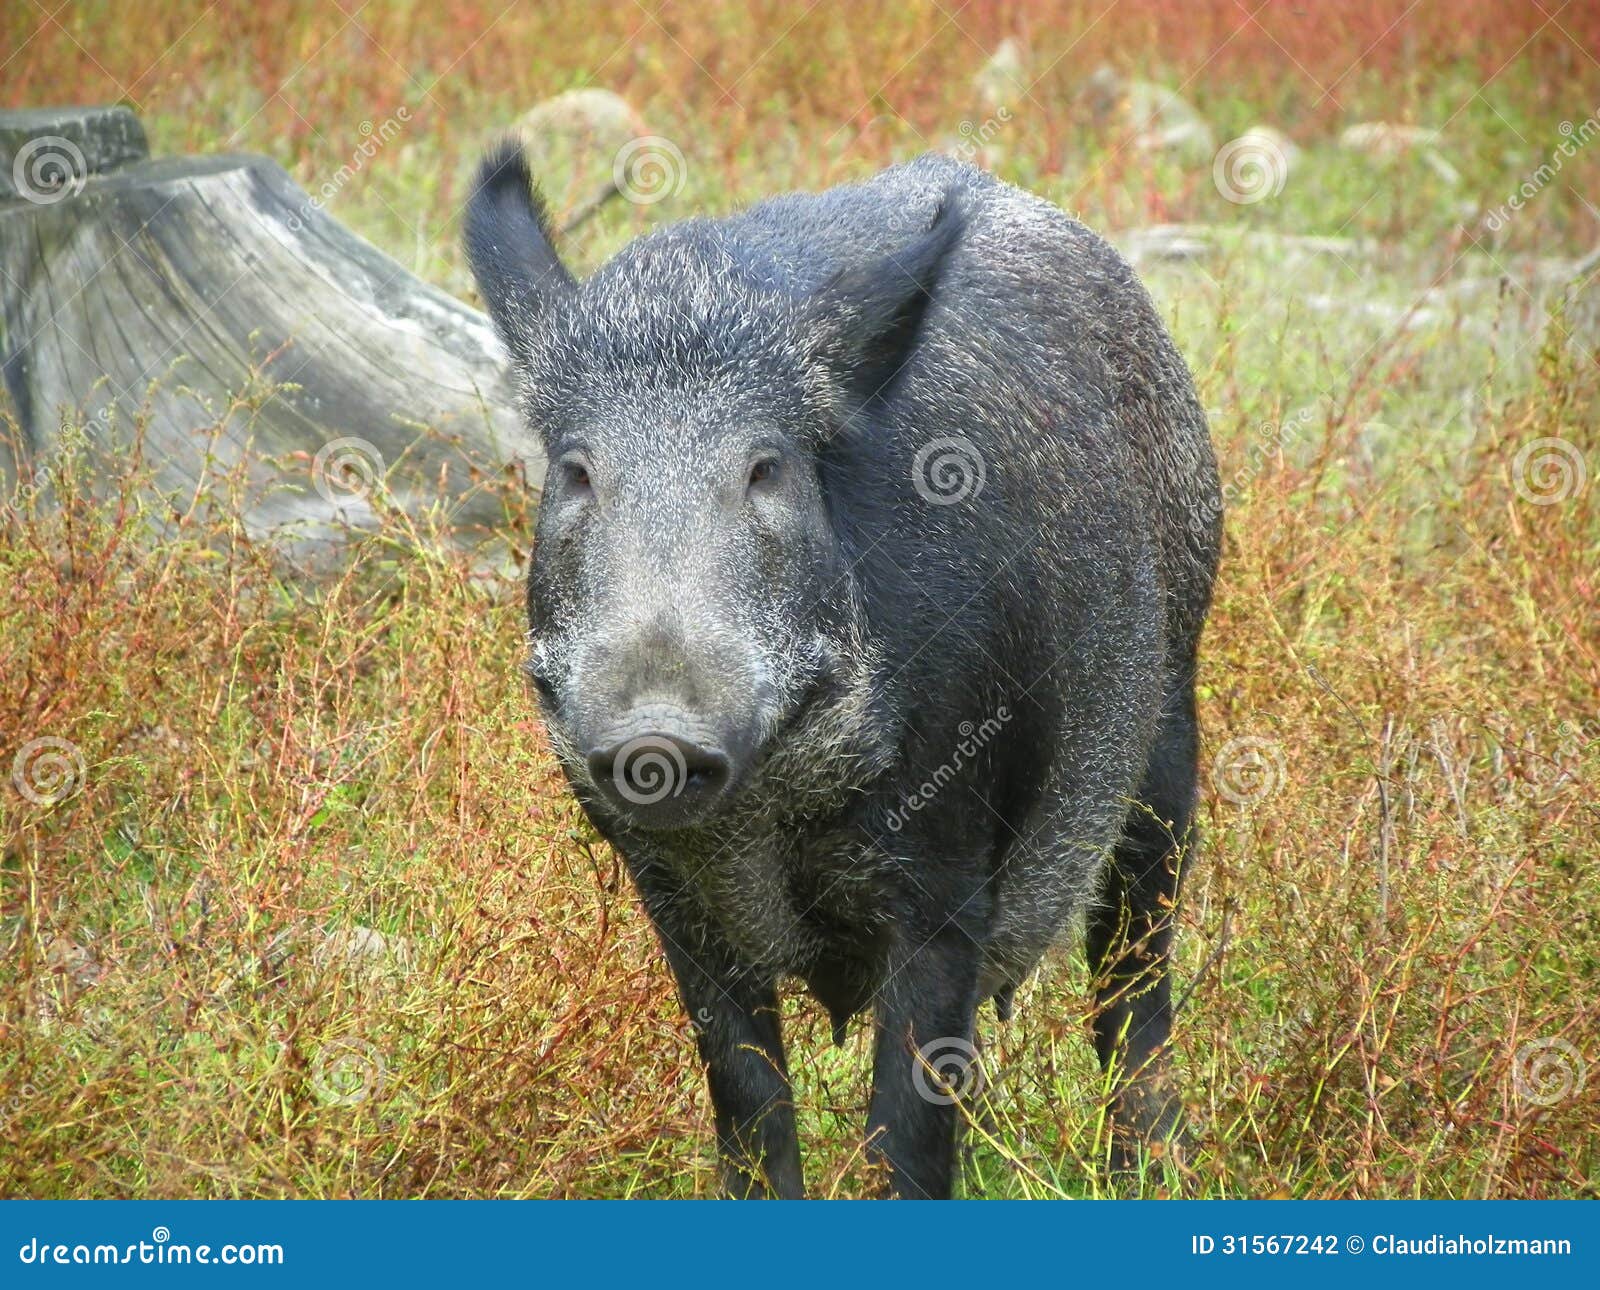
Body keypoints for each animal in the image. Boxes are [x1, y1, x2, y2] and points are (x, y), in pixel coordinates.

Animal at [464, 142, 1221, 1199]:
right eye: (577, 471)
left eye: (766, 468)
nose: (658, 732)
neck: (768, 815)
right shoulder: (671, 892)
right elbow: (747, 1100)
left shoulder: (947, 864)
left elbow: (909, 1126)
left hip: (1170, 712)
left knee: (1136, 969)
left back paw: (1151, 1170)